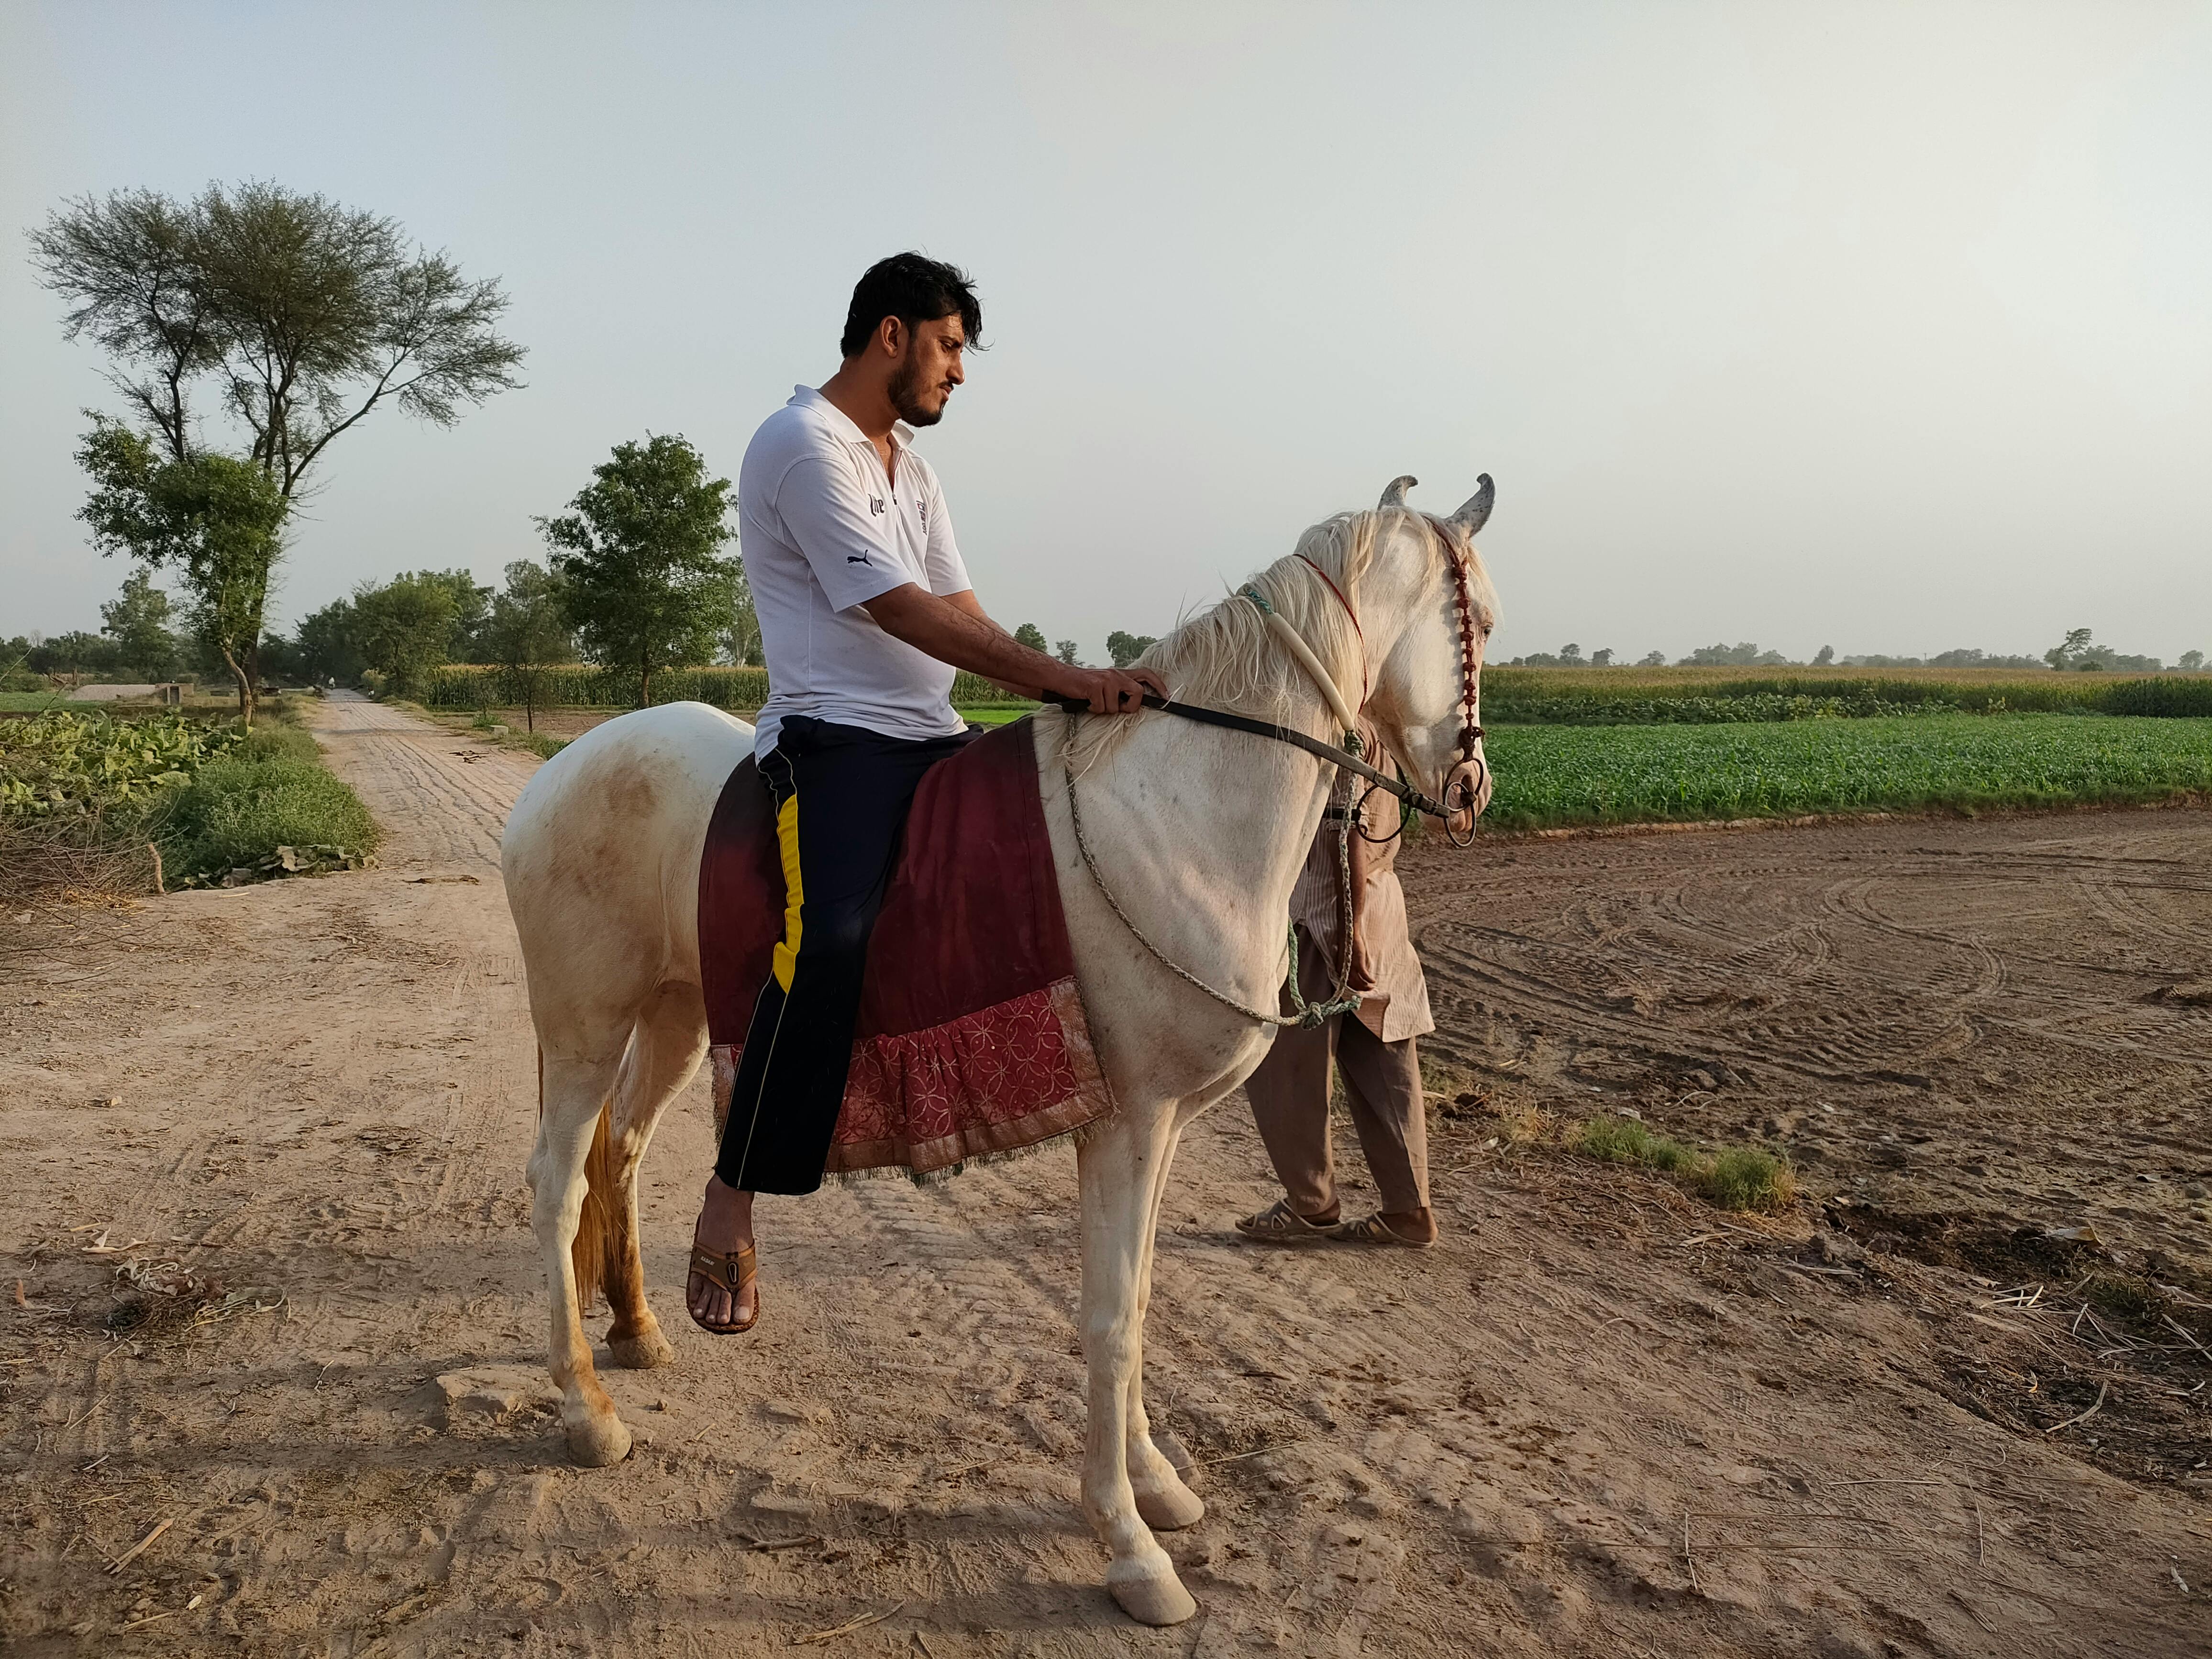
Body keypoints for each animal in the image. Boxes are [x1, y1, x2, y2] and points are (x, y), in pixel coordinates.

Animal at [499, 476, 1499, 1625]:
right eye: (1482, 622)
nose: (1472, 787)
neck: (1177, 813)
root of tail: (563, 770)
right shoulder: (1124, 1125)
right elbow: (1108, 1319)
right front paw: (1126, 1542)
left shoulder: (1156, 1128)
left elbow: (1138, 1301)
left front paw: (1156, 1486)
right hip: (583, 1022)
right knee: (559, 1181)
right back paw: (586, 1407)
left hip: (671, 1017)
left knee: (617, 1155)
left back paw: (637, 1330)